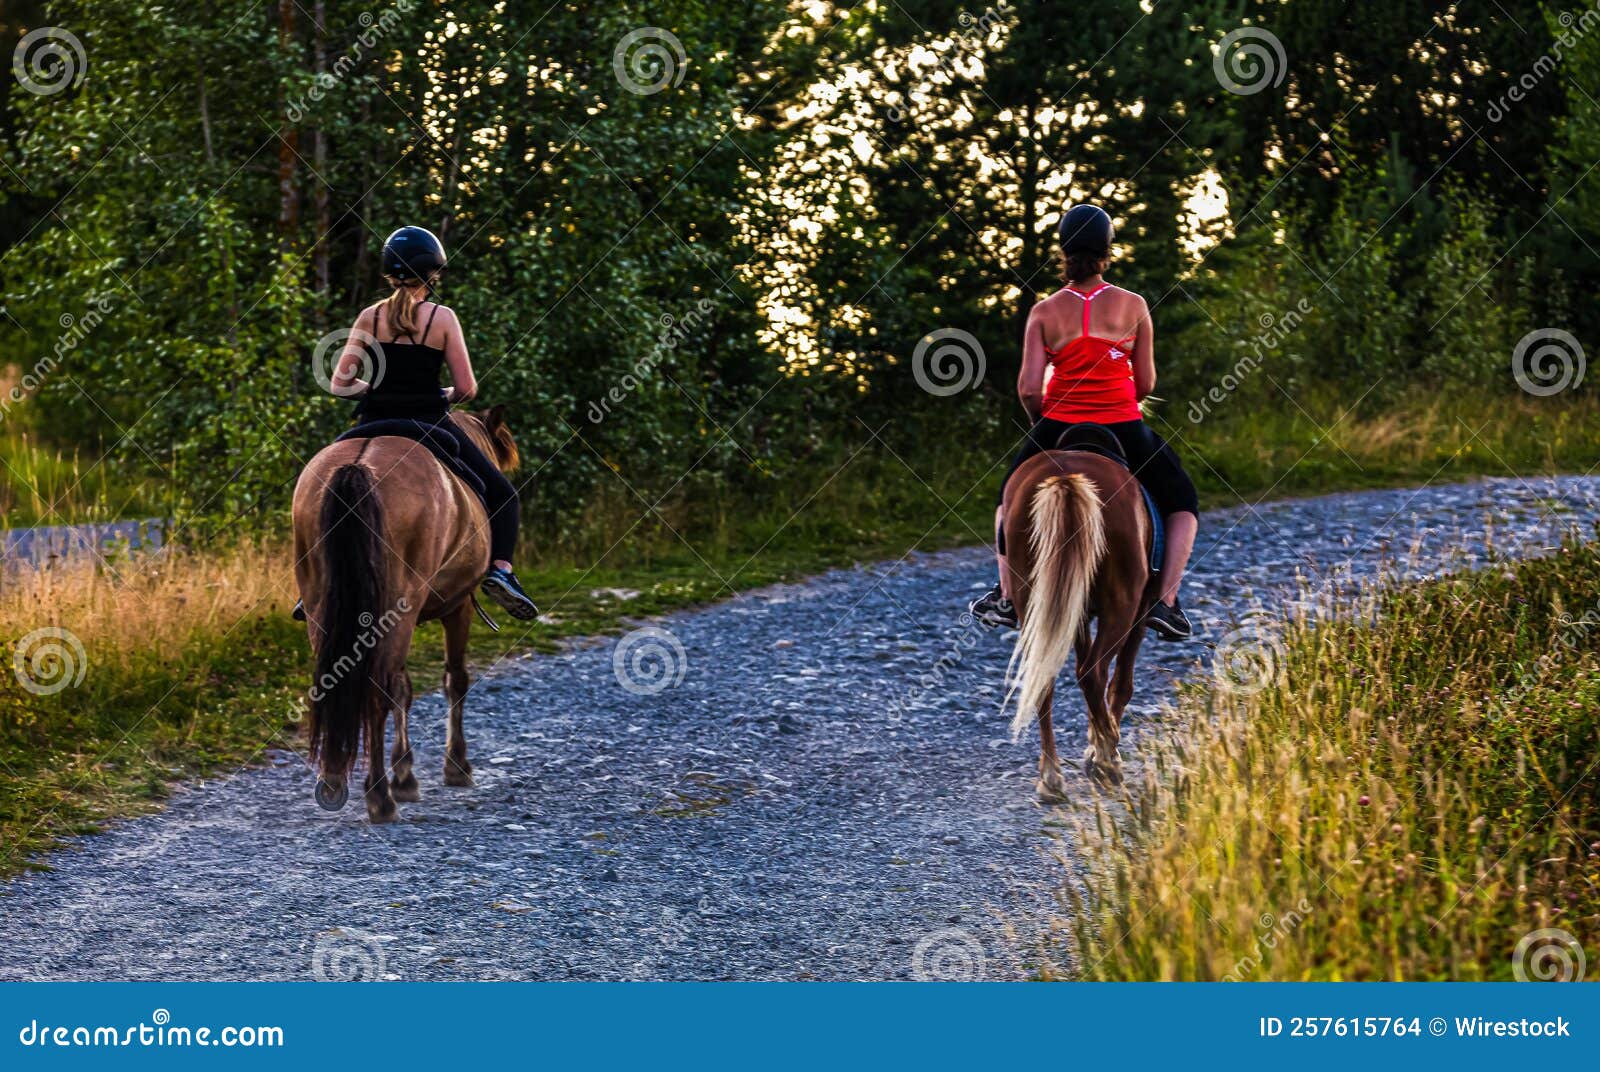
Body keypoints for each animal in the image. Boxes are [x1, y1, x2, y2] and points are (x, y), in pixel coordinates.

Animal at [291, 406, 520, 823]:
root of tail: (358, 465)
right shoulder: (458, 607)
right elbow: (455, 680)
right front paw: (455, 766)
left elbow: (403, 686)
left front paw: (405, 773)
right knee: (376, 693)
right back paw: (379, 797)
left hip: (323, 606)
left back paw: (333, 782)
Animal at [1002, 430, 1154, 801]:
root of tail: (1066, 479)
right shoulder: (1140, 612)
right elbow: (1120, 683)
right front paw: (1098, 746)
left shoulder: (1075, 613)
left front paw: (1094, 740)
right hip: (1123, 603)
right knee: (1093, 671)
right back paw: (1108, 761)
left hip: (1035, 602)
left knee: (1046, 678)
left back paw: (1051, 778)